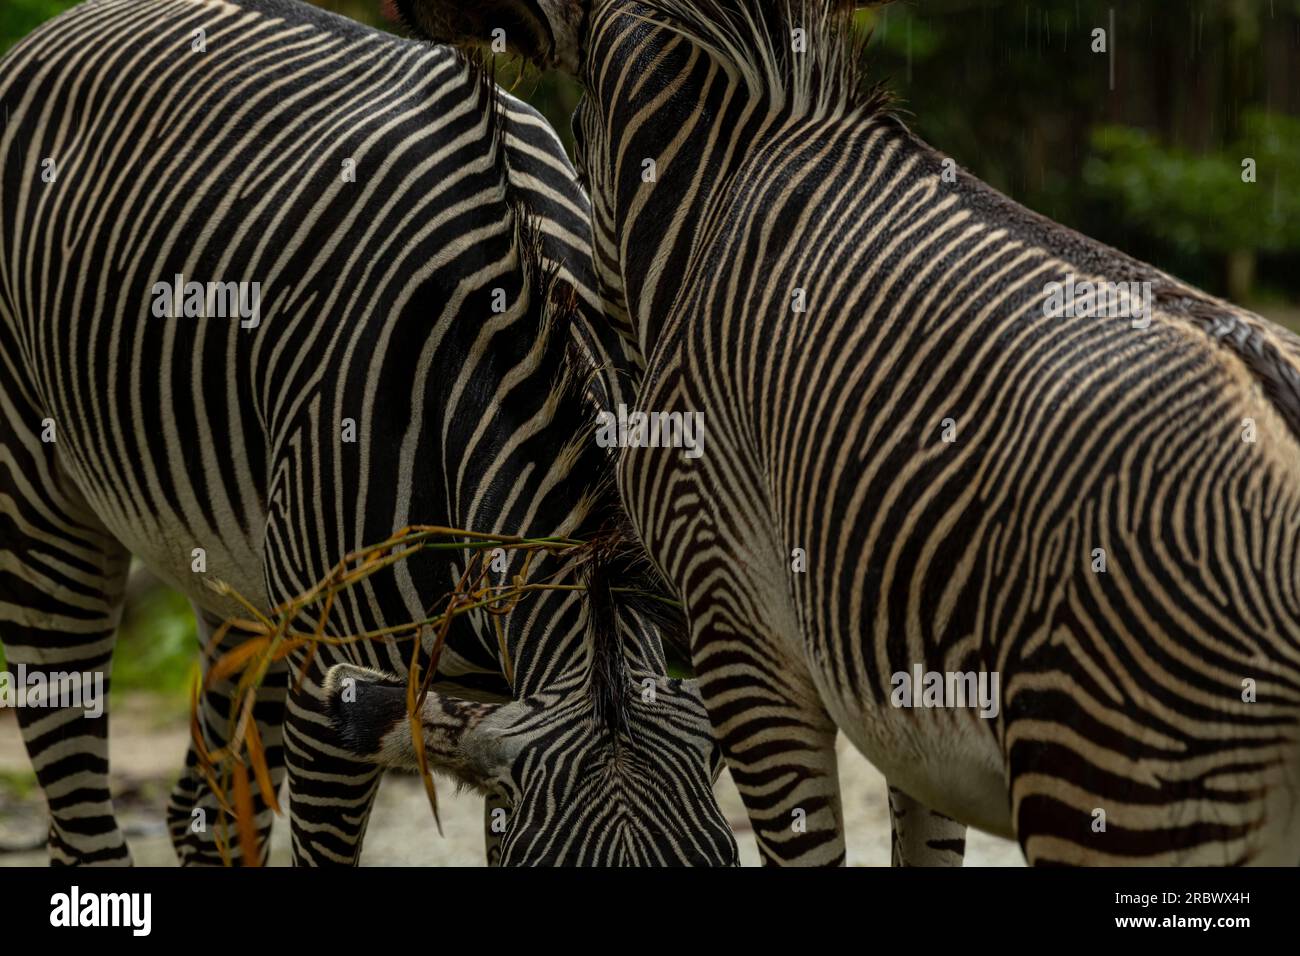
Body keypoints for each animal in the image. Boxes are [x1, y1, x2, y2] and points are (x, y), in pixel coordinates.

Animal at [0, 0, 737, 866]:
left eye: (726, 861)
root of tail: (57, 26)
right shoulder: (337, 692)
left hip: (239, 579)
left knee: (206, 811)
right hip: (40, 510)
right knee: (82, 810)